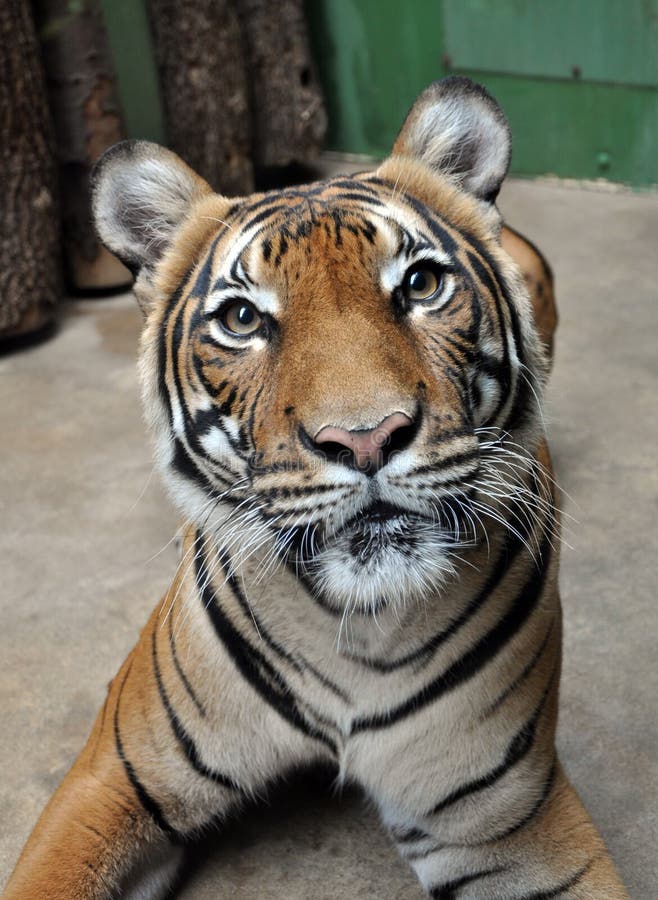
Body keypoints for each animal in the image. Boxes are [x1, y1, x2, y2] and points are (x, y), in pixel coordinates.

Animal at [5, 77, 626, 899]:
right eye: (242, 318)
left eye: (422, 284)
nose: (365, 438)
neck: (357, 626)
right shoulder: (113, 778)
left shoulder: (505, 820)